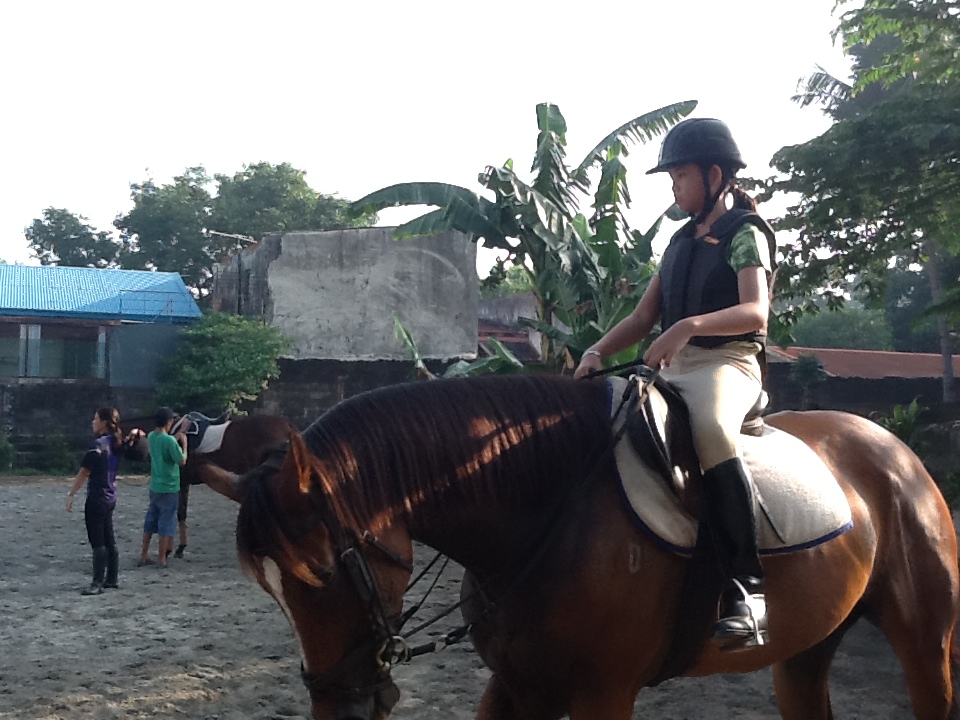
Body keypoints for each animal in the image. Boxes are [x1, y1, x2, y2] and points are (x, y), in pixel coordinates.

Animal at [209, 373, 960, 720]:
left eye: (324, 572)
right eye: (275, 592)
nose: (337, 706)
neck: (548, 513)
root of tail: (894, 448)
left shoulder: (604, 693)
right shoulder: (519, 684)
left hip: (926, 642)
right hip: (805, 652)